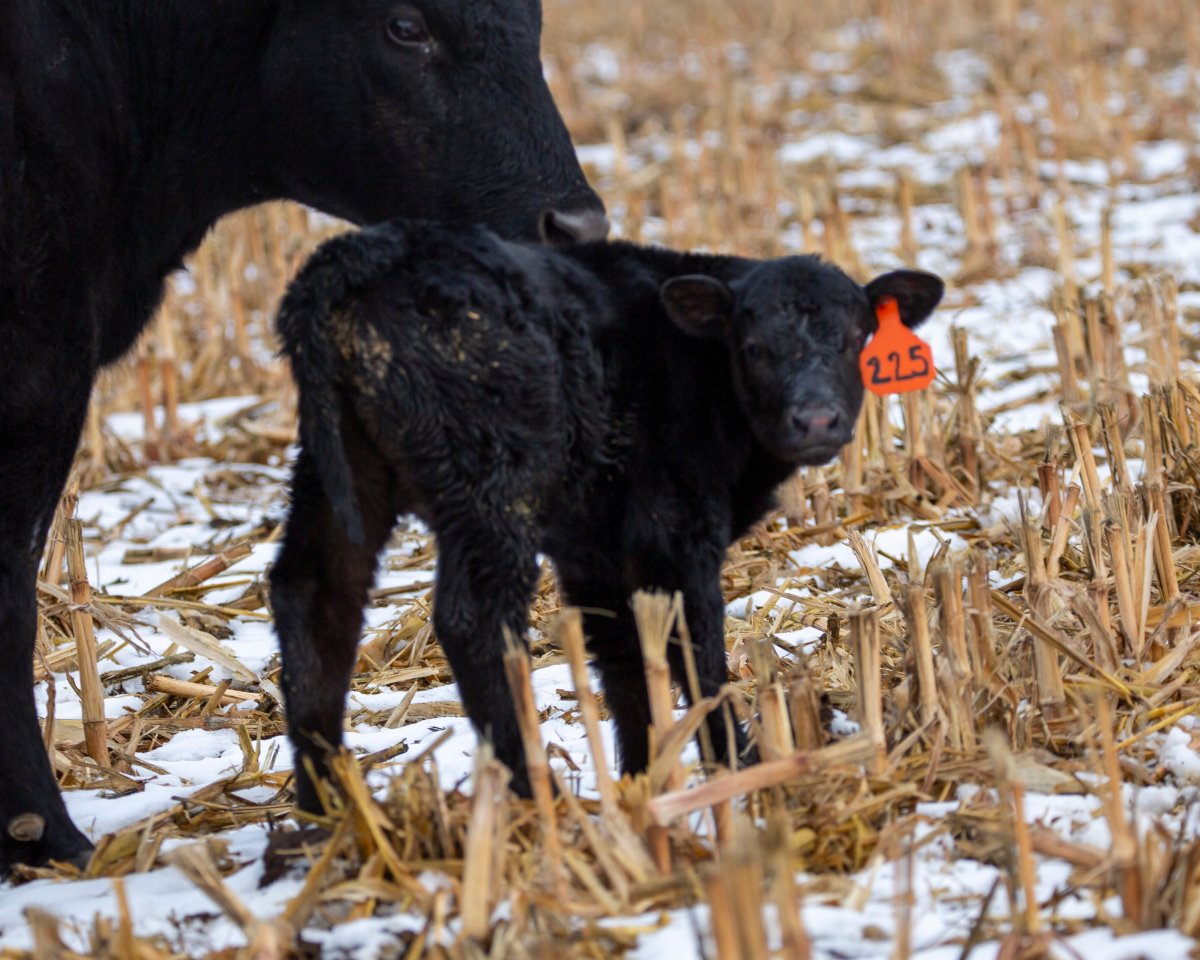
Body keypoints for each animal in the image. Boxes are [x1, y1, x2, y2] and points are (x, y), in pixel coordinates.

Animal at [270, 220, 944, 809]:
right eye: (753, 348)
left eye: (854, 339)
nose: (817, 420)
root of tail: (360, 256)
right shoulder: (675, 529)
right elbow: (694, 650)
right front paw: (740, 767)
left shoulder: (594, 547)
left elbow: (624, 661)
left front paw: (643, 782)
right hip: (490, 489)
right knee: (472, 619)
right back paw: (534, 797)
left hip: (339, 475)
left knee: (313, 597)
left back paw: (327, 812)